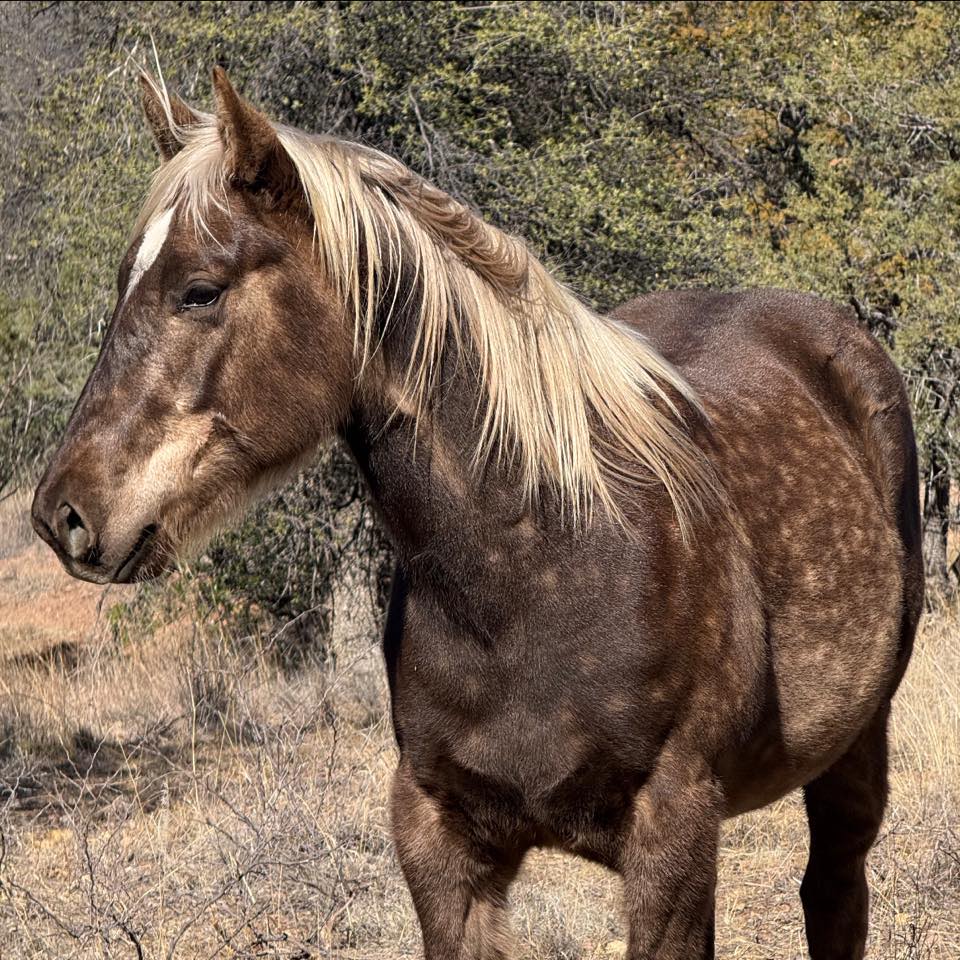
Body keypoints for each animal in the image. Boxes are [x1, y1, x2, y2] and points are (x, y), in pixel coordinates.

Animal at [31, 68, 923, 960]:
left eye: (200, 291)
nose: (61, 515)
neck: (542, 569)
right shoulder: (439, 839)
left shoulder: (672, 833)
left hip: (856, 746)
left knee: (834, 895)